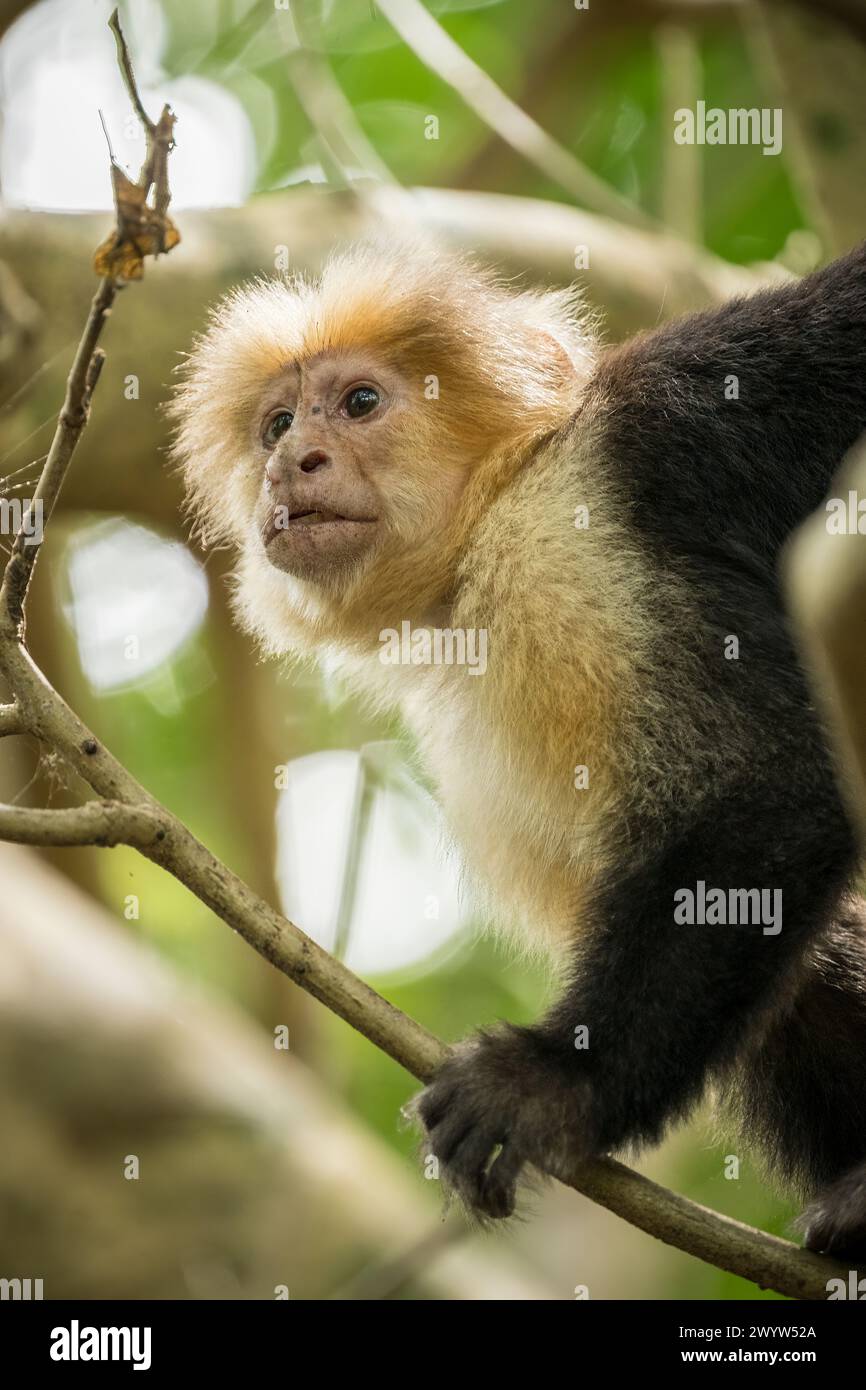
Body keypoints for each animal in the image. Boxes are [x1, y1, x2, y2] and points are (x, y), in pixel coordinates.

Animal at [170, 237, 866, 1257]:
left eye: (361, 403)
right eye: (277, 424)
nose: (292, 465)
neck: (491, 513)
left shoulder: (577, 542)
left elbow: (767, 791)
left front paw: (558, 1087)